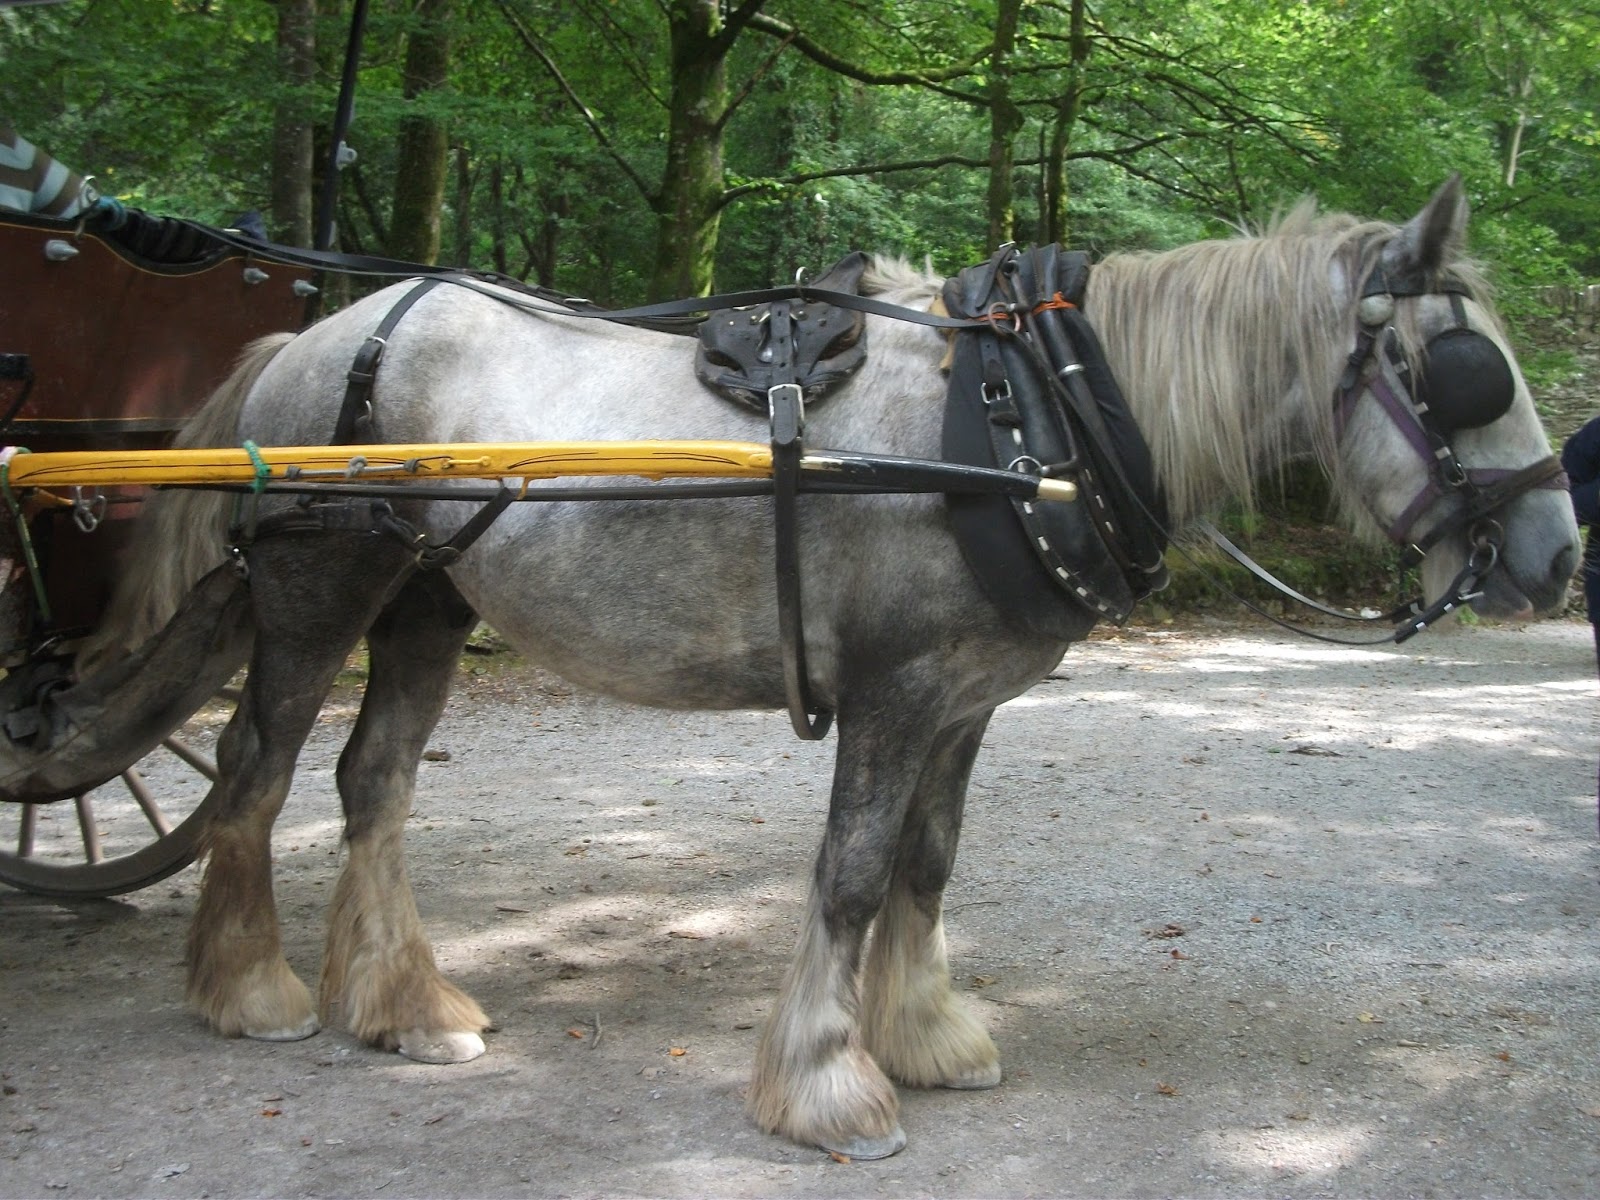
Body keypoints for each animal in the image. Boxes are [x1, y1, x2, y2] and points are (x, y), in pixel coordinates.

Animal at [80, 176, 1578, 1159]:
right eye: (1468, 371)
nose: (1560, 554)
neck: (1021, 419)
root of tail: (321, 333)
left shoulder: (963, 705)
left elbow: (926, 866)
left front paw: (923, 1034)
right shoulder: (897, 692)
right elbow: (852, 875)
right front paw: (825, 1085)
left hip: (427, 604)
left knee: (372, 780)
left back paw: (400, 1006)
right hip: (315, 585)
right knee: (257, 769)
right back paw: (252, 990)